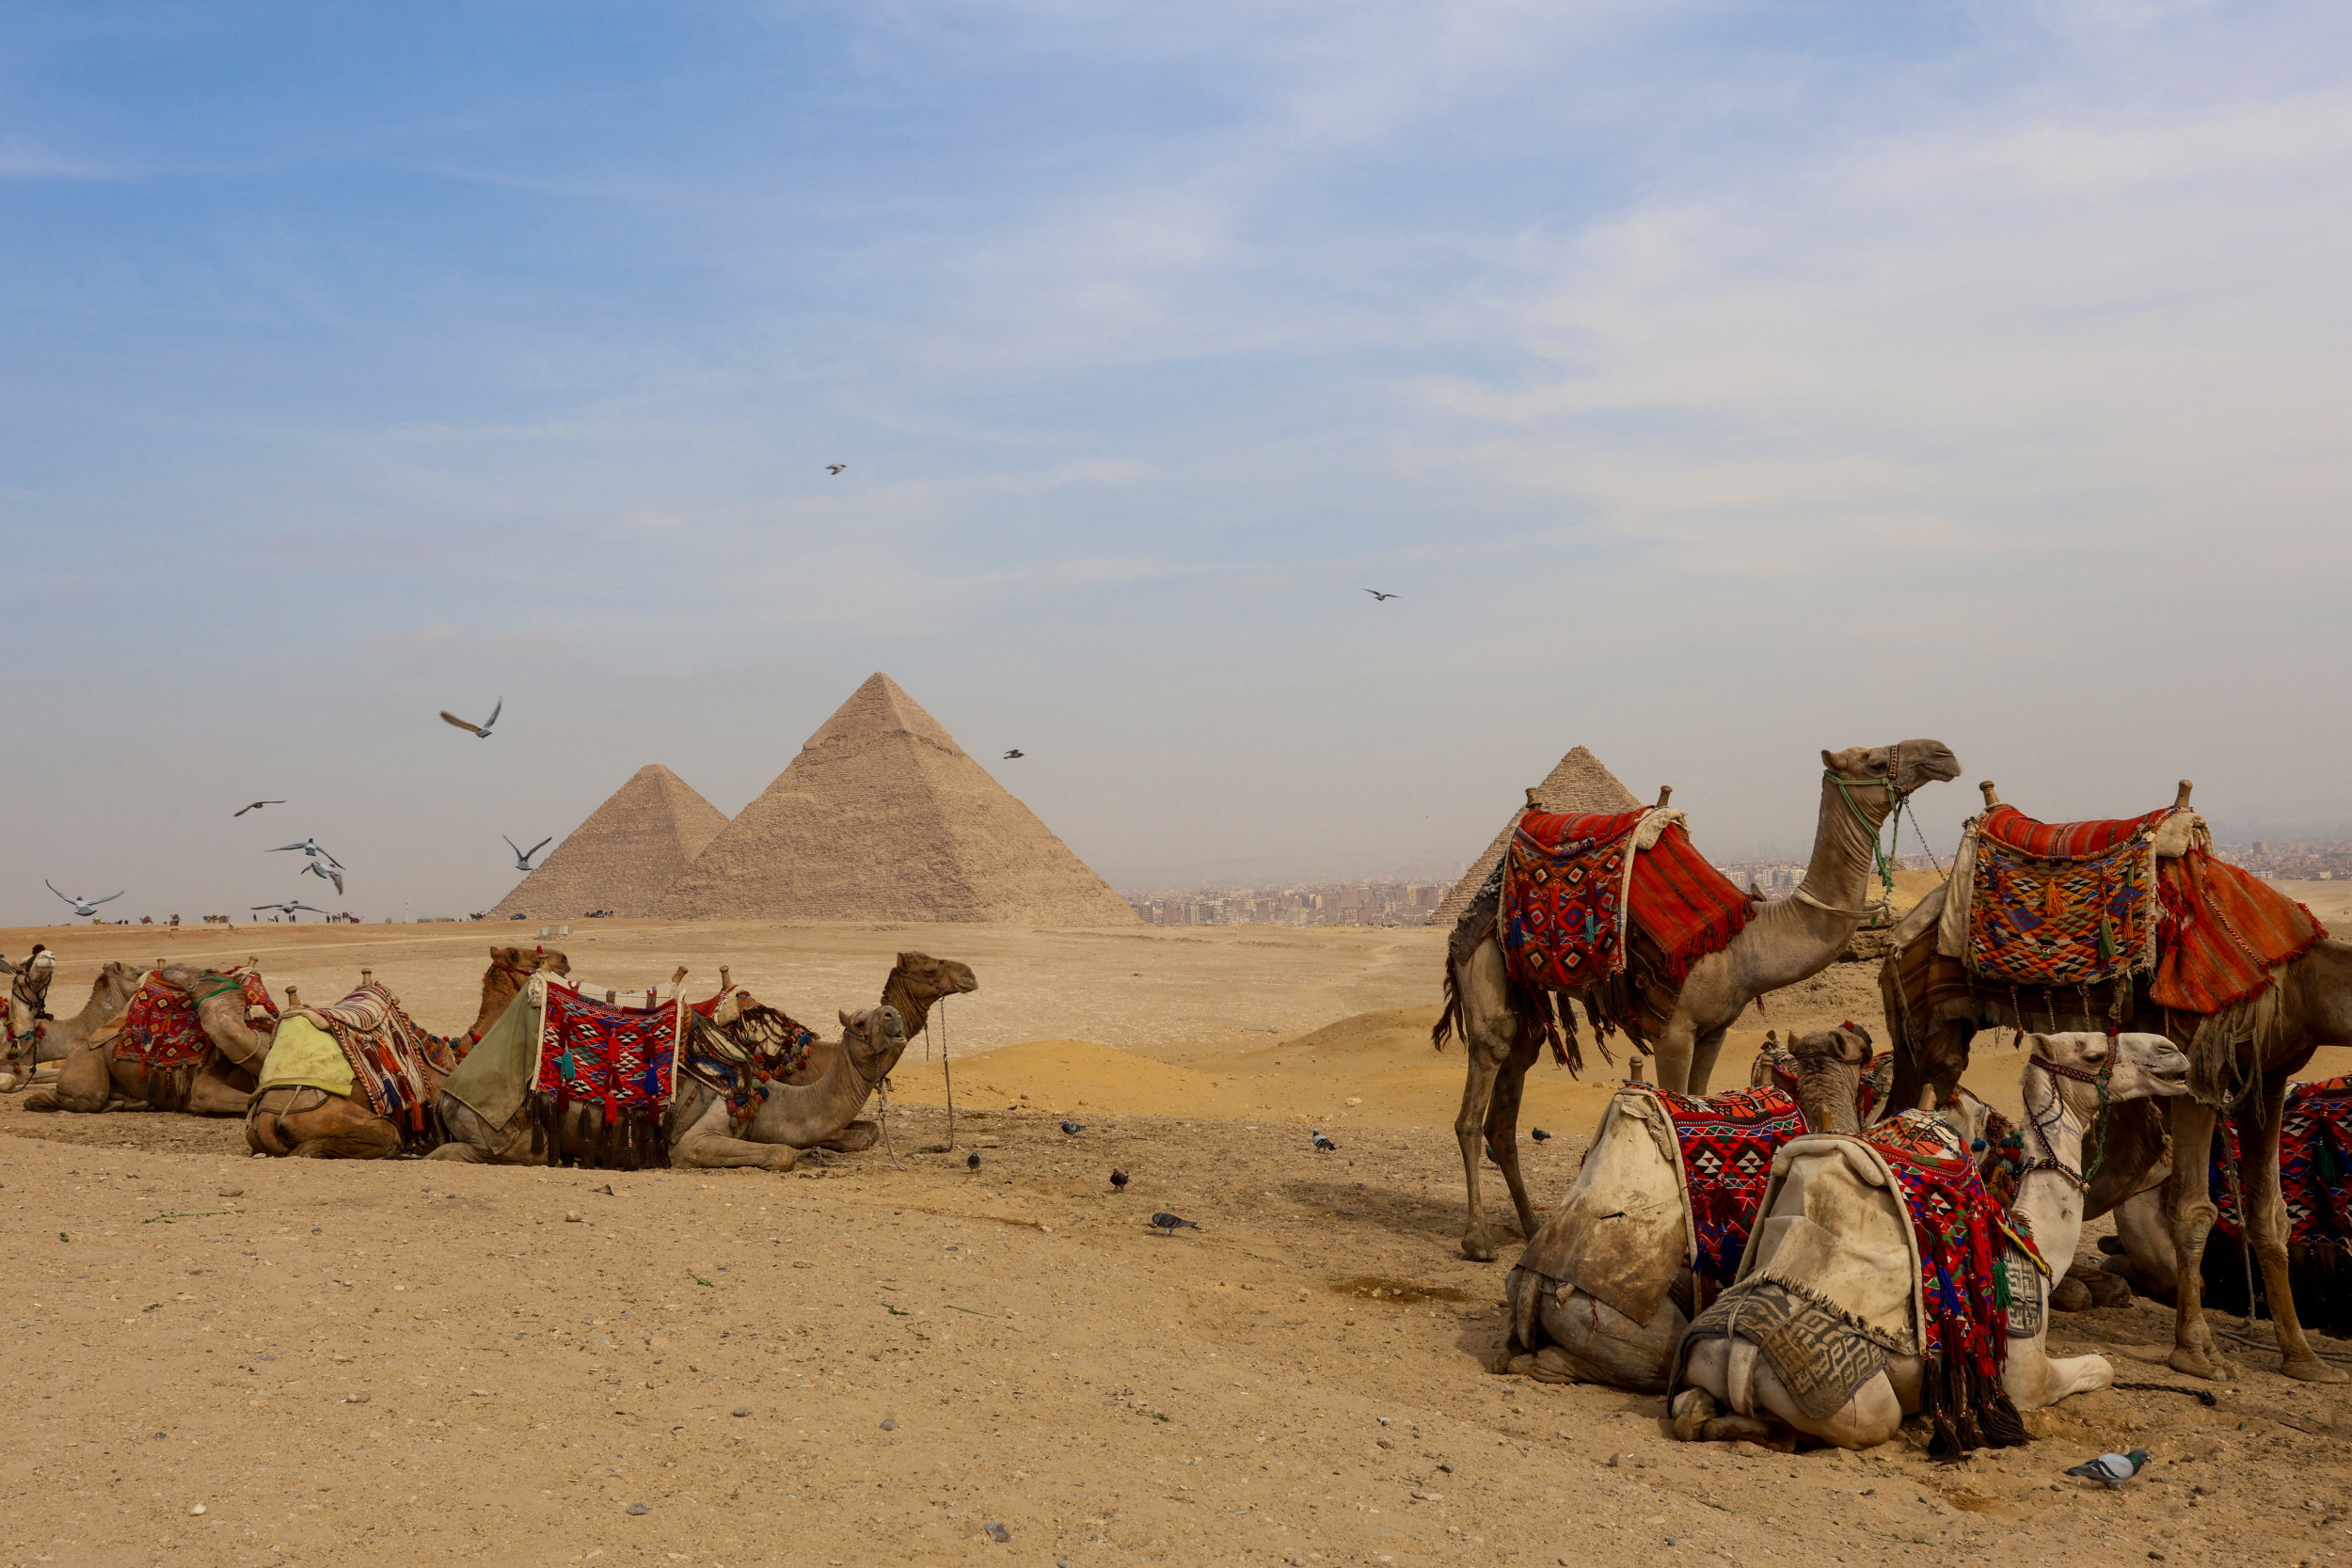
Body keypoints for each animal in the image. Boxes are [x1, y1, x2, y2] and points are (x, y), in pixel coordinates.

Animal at [1436, 739, 1961, 1260]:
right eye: (1874, 760)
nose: (1943, 755)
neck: (1747, 944)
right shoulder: (1675, 1031)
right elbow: (1671, 1109)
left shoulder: (1714, 1033)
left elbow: (1699, 1096)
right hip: (1483, 963)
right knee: (1478, 1089)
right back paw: (1477, 1238)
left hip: (1525, 992)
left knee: (1509, 1092)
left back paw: (1529, 1226)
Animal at [1497, 1026, 1878, 1393]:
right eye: (1858, 1044)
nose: (1869, 1039)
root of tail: (1535, 1279)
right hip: (1609, 1320)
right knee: (1655, 1359)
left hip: (1519, 1288)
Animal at [1671, 1031, 2190, 1449]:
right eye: (2093, 1053)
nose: (2170, 1051)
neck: (2032, 1237)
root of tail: (1741, 1356)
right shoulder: (2025, 1373)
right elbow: (2103, 1367)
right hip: (1858, 1406)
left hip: (1706, 1358)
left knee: (1688, 1410)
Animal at [1884, 780, 2352, 1385]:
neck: (2294, 971)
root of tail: (1900, 935)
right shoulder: (2199, 1067)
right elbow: (2193, 1211)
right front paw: (2197, 1352)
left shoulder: (2267, 1078)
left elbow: (2271, 1218)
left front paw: (2303, 1357)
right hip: (1924, 1030)